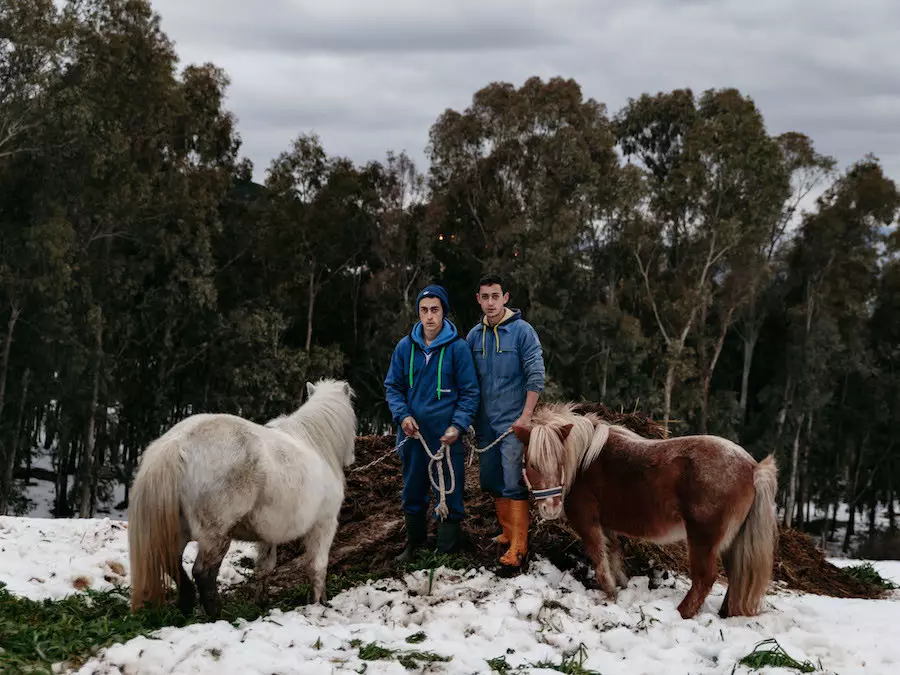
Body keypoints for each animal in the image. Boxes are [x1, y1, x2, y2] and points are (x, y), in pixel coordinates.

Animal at [128, 380, 356, 616]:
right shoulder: (324, 524)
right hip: (216, 536)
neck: (316, 445)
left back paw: (187, 605)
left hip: (180, 530)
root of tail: (179, 441)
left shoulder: (270, 534)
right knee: (202, 573)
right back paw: (216, 614)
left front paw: (262, 603)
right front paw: (319, 603)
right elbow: (318, 566)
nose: (352, 458)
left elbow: (265, 567)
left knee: (172, 563)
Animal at [516, 404, 776, 620]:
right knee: (735, 576)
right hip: (733, 541)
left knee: (705, 579)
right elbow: (613, 554)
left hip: (703, 539)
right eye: (532, 464)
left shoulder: (588, 522)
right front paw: (621, 588)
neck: (583, 462)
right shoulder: (606, 524)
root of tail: (753, 468)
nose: (550, 507)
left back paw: (680, 614)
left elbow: (599, 558)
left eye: (560, 462)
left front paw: (609, 594)